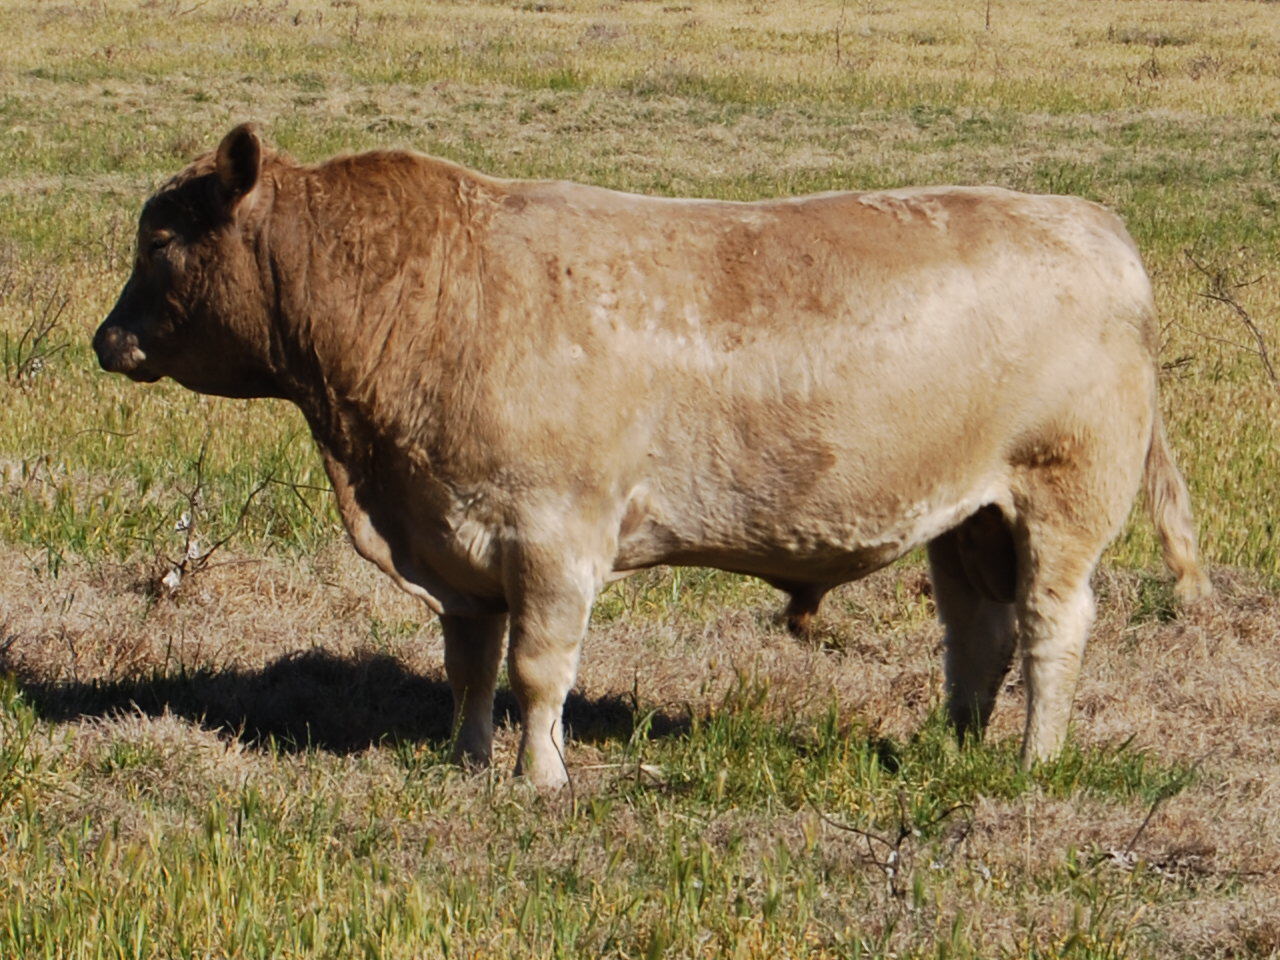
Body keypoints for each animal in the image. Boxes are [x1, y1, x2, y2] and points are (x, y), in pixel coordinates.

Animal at [94, 123, 1211, 788]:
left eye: (161, 241)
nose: (107, 341)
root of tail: (1090, 221)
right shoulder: (456, 541)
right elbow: (469, 664)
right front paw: (467, 758)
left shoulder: (553, 538)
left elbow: (539, 668)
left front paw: (538, 778)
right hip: (968, 515)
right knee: (976, 630)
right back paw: (955, 745)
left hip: (1061, 498)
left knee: (1050, 627)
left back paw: (1032, 760)